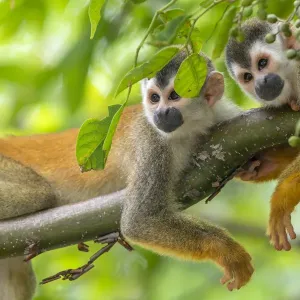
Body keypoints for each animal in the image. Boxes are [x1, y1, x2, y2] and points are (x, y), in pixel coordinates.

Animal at [0, 51, 255, 298]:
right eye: (154, 98)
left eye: (174, 96)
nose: (161, 114)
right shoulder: (151, 140)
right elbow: (140, 221)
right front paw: (227, 249)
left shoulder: (227, 116)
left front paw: (258, 167)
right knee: (40, 194)